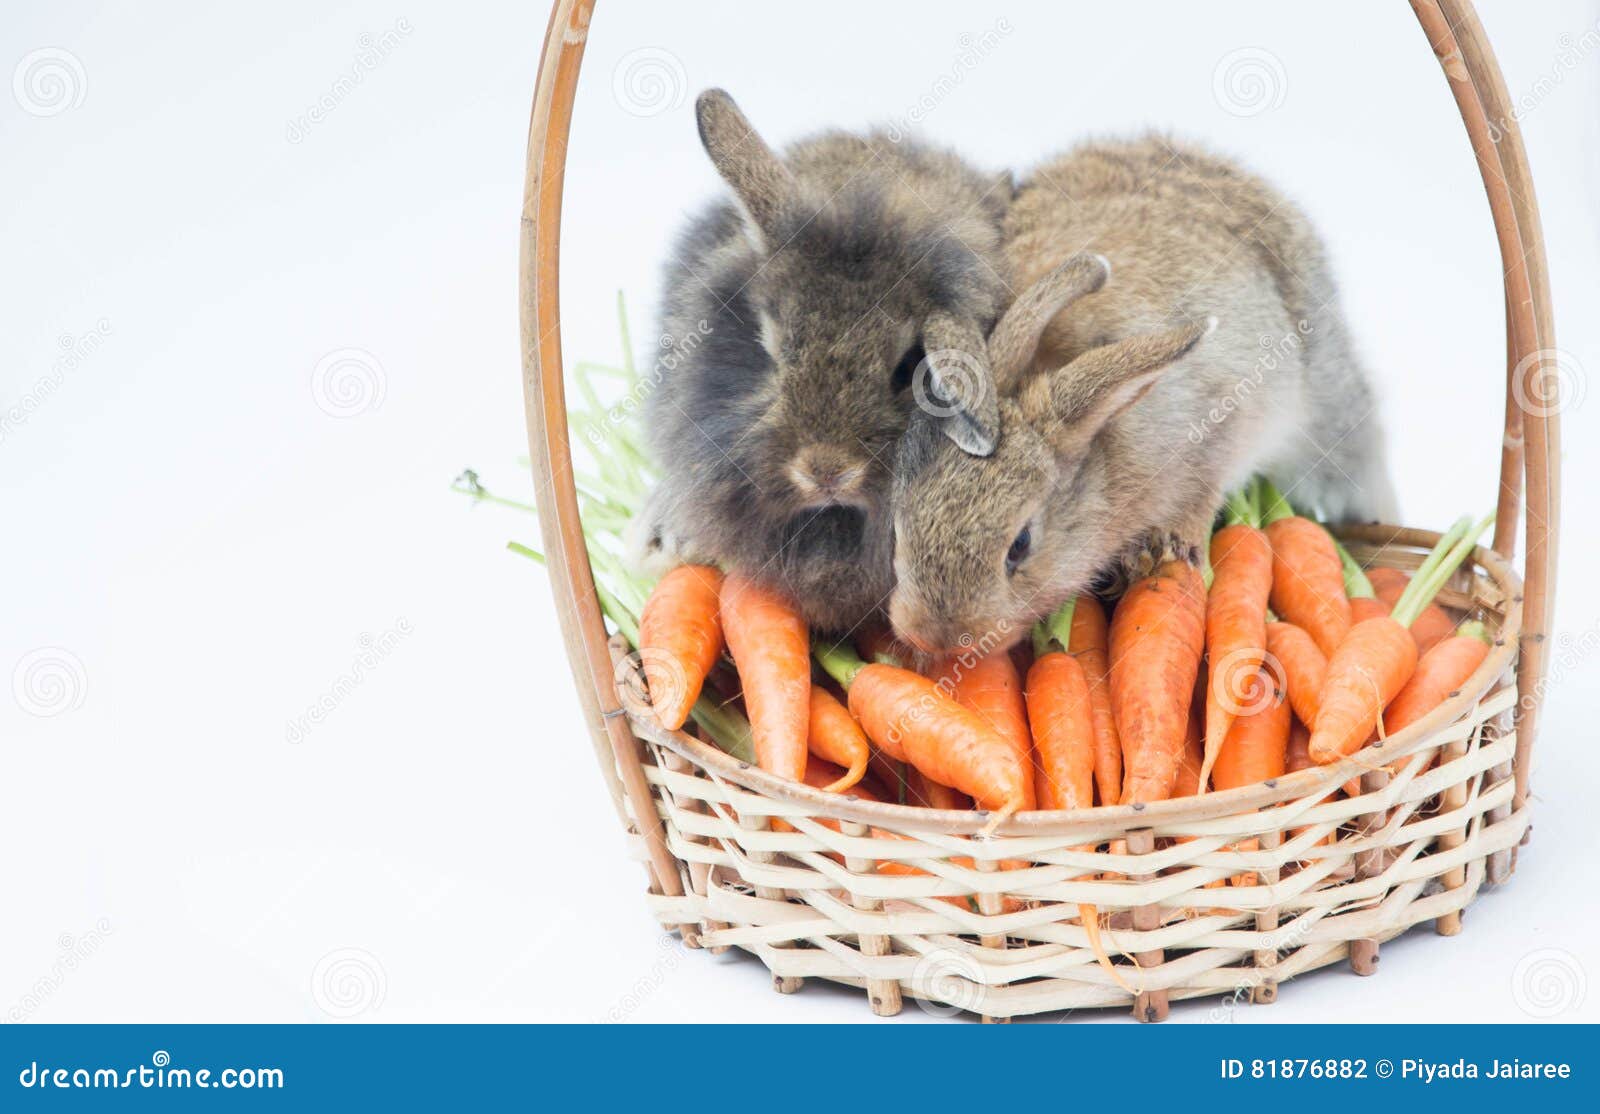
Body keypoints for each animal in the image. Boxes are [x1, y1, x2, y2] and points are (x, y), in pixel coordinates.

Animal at [888, 135, 1398, 654]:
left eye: (1021, 544)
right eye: (898, 527)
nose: (935, 639)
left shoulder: (1218, 428)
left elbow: (1203, 491)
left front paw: (1170, 548)